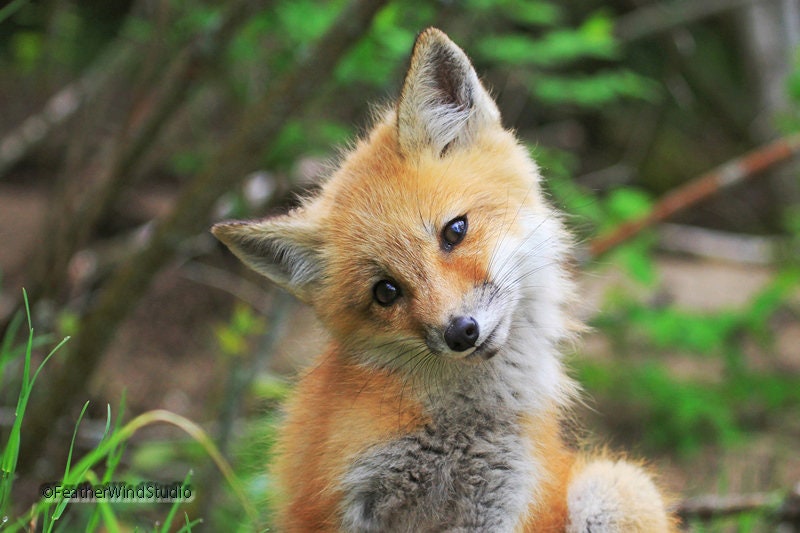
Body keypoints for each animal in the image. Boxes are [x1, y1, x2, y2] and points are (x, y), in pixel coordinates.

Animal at [212, 28, 676, 532]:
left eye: (455, 230)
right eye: (385, 291)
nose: (461, 332)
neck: (461, 424)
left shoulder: (504, 500)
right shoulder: (338, 498)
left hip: (618, 488)